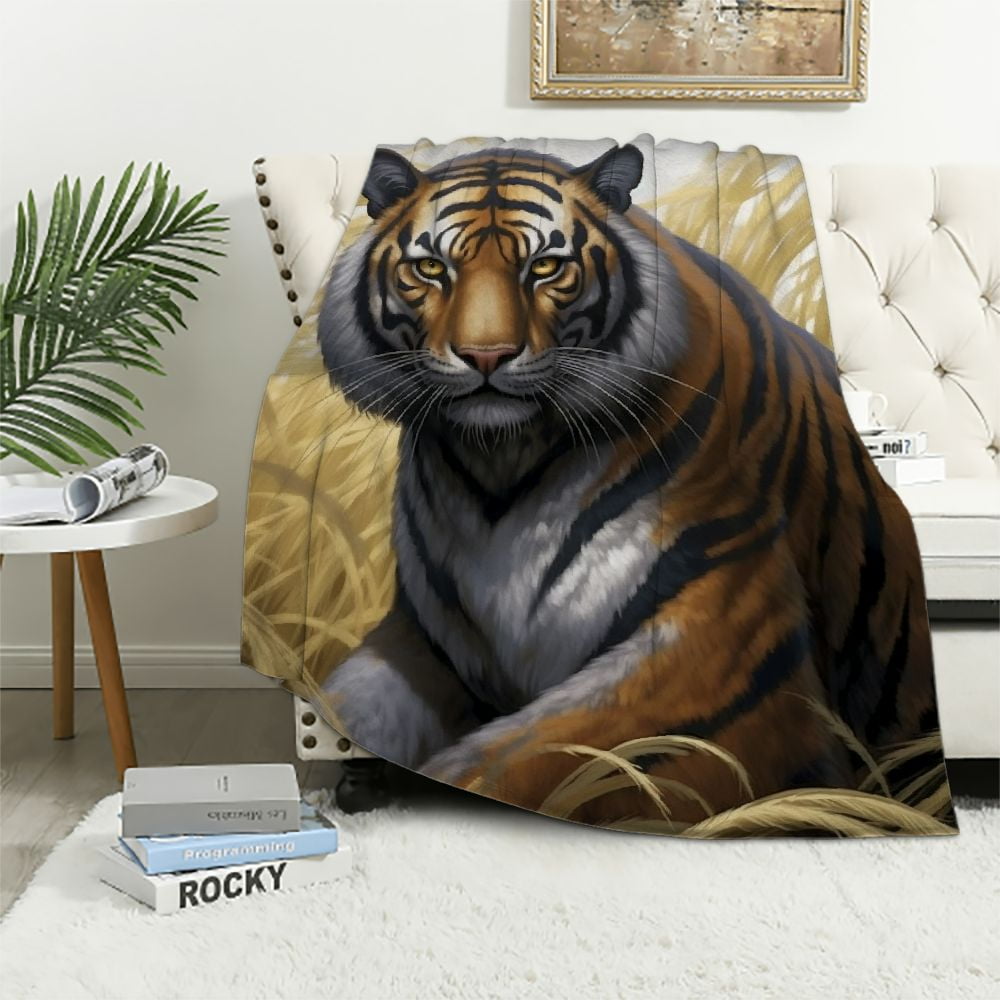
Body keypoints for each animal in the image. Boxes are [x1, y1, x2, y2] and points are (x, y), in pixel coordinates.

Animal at [315, 141, 950, 829]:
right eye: (431, 268)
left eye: (546, 268)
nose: (486, 357)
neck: (499, 469)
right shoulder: (423, 642)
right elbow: (344, 705)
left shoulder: (722, 659)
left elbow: (511, 764)